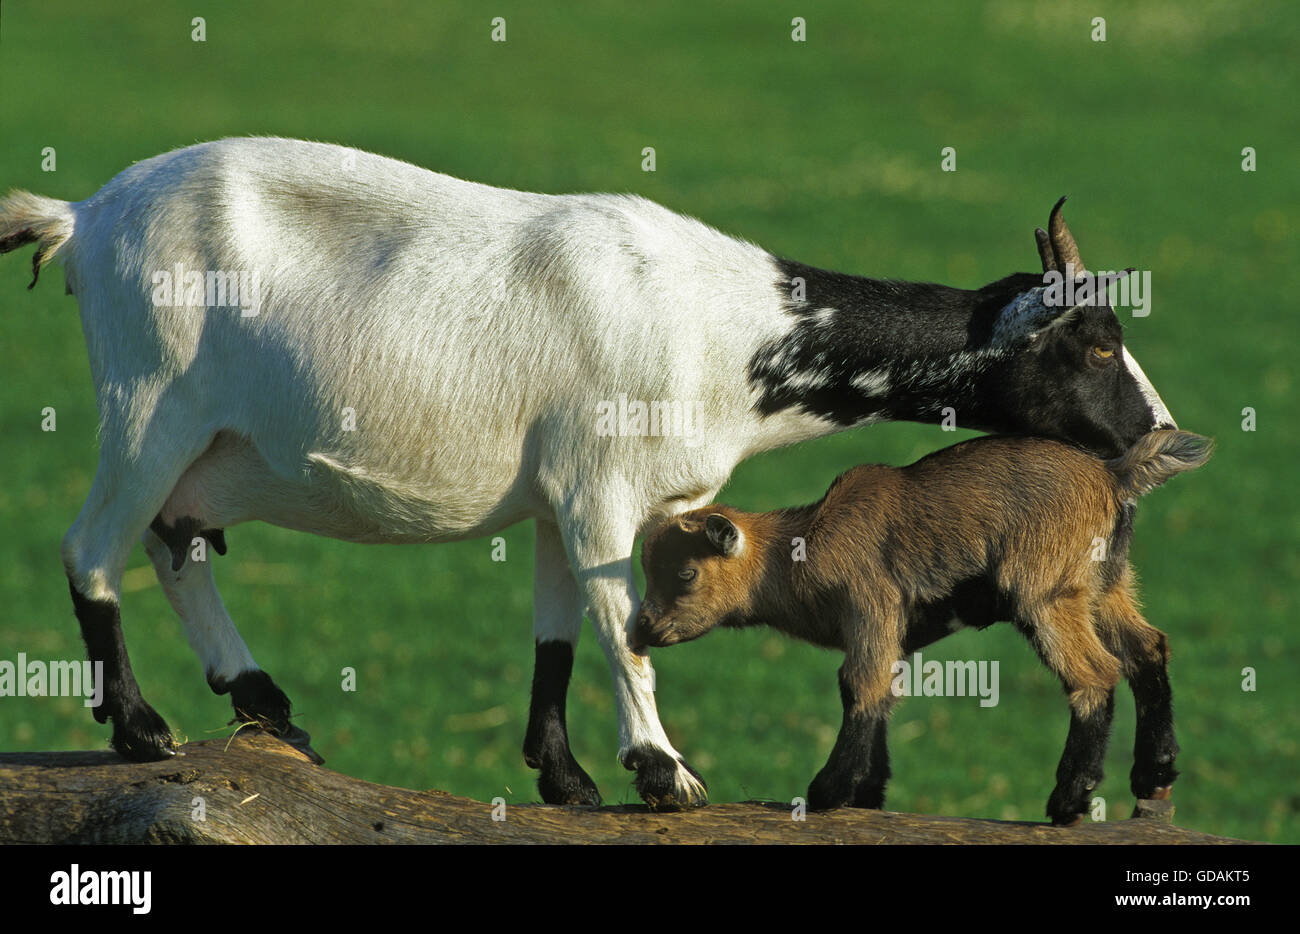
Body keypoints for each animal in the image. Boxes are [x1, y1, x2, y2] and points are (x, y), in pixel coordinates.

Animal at [635, 429, 1212, 823]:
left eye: (685, 573)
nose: (642, 630)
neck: (802, 550)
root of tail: (1113, 476)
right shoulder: (895, 634)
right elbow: (885, 694)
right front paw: (869, 794)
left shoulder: (871, 604)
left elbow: (860, 687)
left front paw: (828, 793)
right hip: (1106, 582)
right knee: (1148, 649)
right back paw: (1155, 772)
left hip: (1045, 589)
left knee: (1095, 673)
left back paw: (1069, 799)